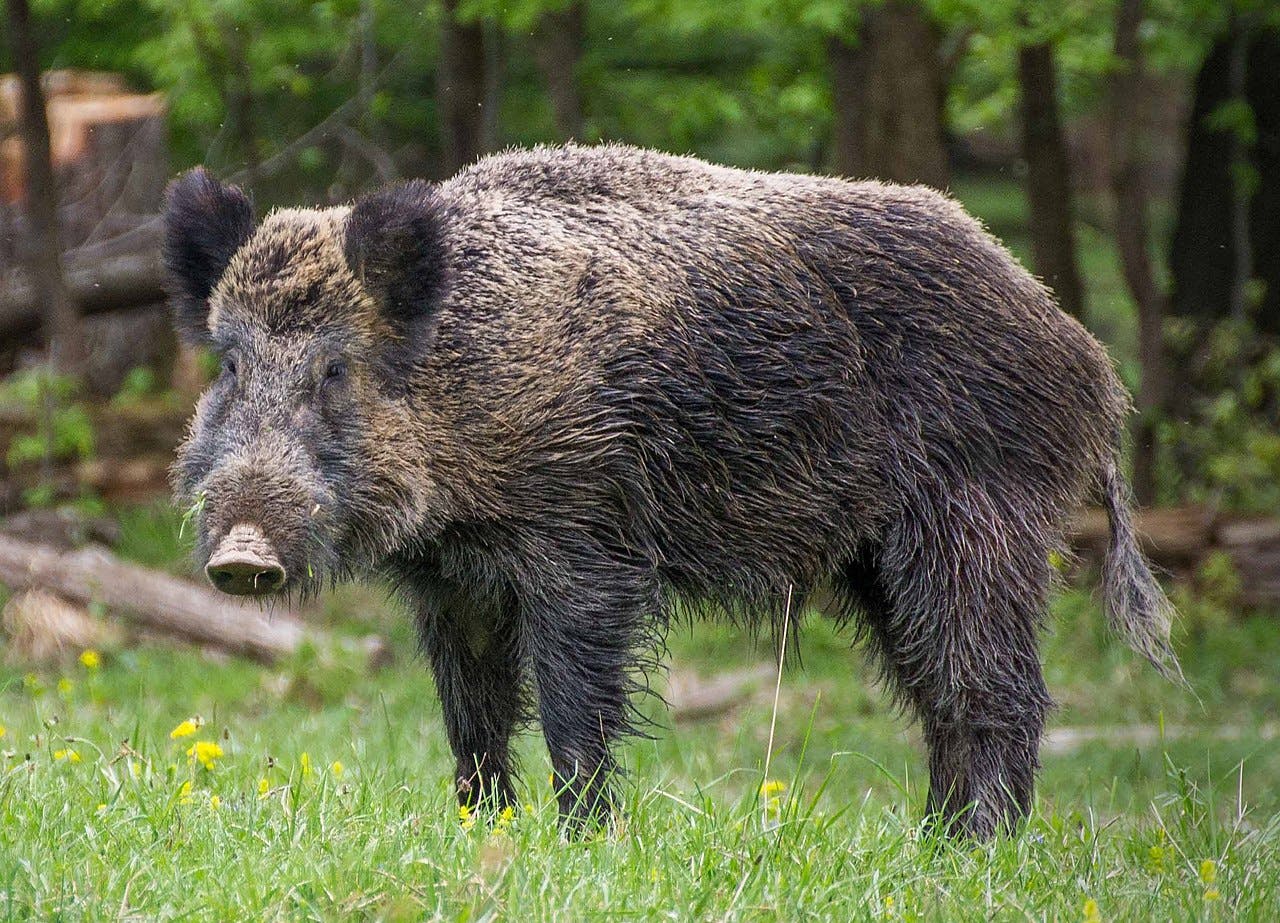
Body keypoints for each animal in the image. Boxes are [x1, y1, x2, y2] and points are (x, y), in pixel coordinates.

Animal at [164, 143, 1176, 838]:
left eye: (336, 369)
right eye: (228, 364)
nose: (242, 554)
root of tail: (1089, 362)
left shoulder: (583, 540)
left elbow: (574, 707)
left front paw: (581, 843)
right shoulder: (454, 583)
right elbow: (472, 716)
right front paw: (482, 827)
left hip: (977, 516)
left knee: (996, 689)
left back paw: (976, 851)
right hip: (880, 560)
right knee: (937, 694)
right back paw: (931, 843)